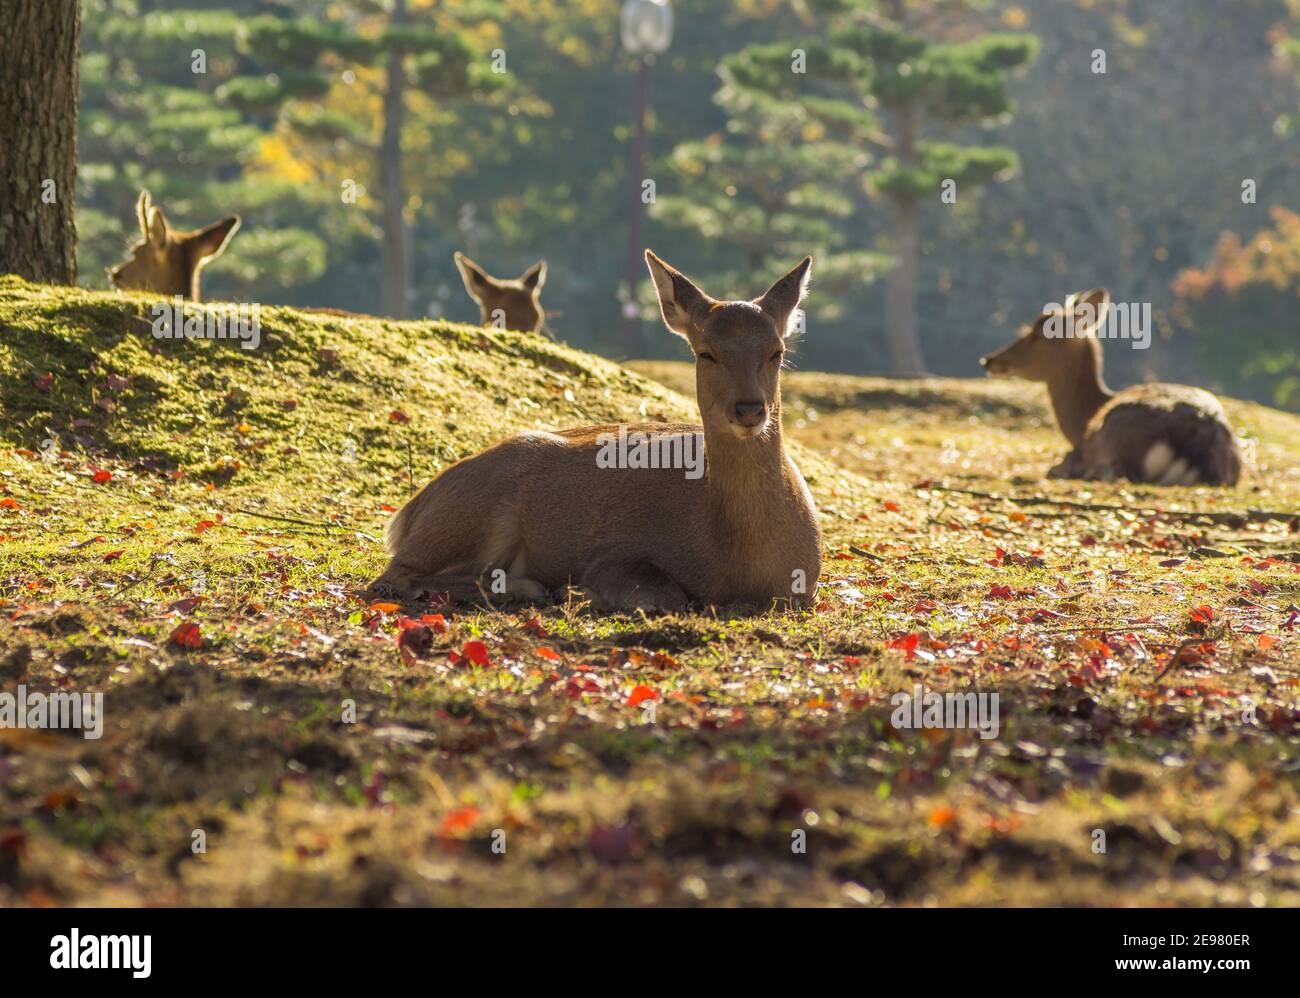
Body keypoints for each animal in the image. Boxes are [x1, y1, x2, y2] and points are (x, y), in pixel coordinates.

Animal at [366, 250, 823, 612]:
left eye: (776, 351)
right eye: (705, 353)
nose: (749, 409)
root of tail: (406, 513)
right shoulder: (616, 552)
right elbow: (665, 595)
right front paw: (579, 593)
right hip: (471, 511)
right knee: (390, 577)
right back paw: (528, 587)